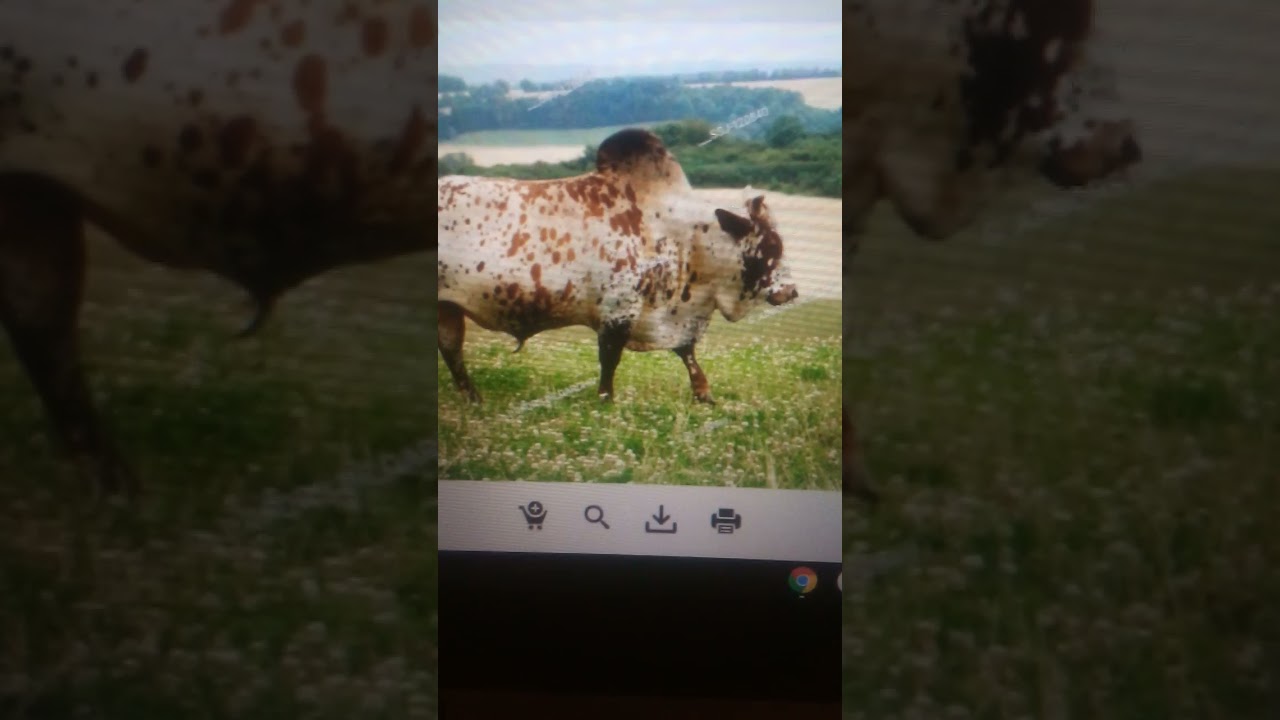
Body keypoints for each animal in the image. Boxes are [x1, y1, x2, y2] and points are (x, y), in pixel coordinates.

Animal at [437, 128, 799, 406]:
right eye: (772, 245)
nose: (791, 291)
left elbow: (686, 352)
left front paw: (704, 393)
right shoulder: (618, 311)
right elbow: (610, 359)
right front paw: (606, 400)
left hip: (448, 309)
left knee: (451, 351)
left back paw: (474, 398)